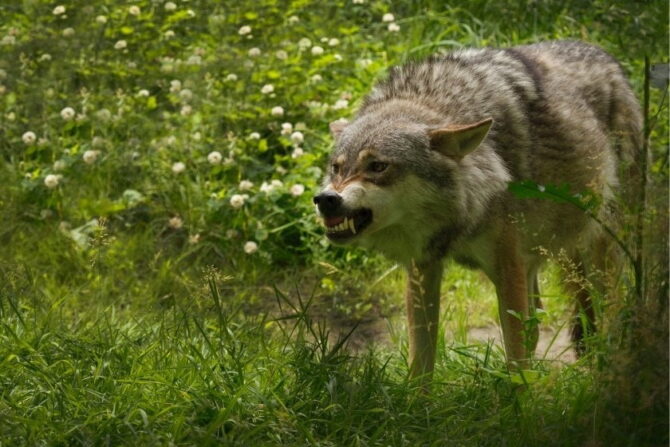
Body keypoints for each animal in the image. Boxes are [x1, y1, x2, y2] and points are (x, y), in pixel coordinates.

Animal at [313, 40, 641, 379]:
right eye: (337, 168)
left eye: (377, 167)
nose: (325, 199)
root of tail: (604, 55)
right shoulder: (423, 267)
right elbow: (421, 360)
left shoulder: (507, 269)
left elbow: (516, 360)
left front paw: (521, 394)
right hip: (540, 262)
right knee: (539, 323)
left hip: (601, 248)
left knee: (610, 312)